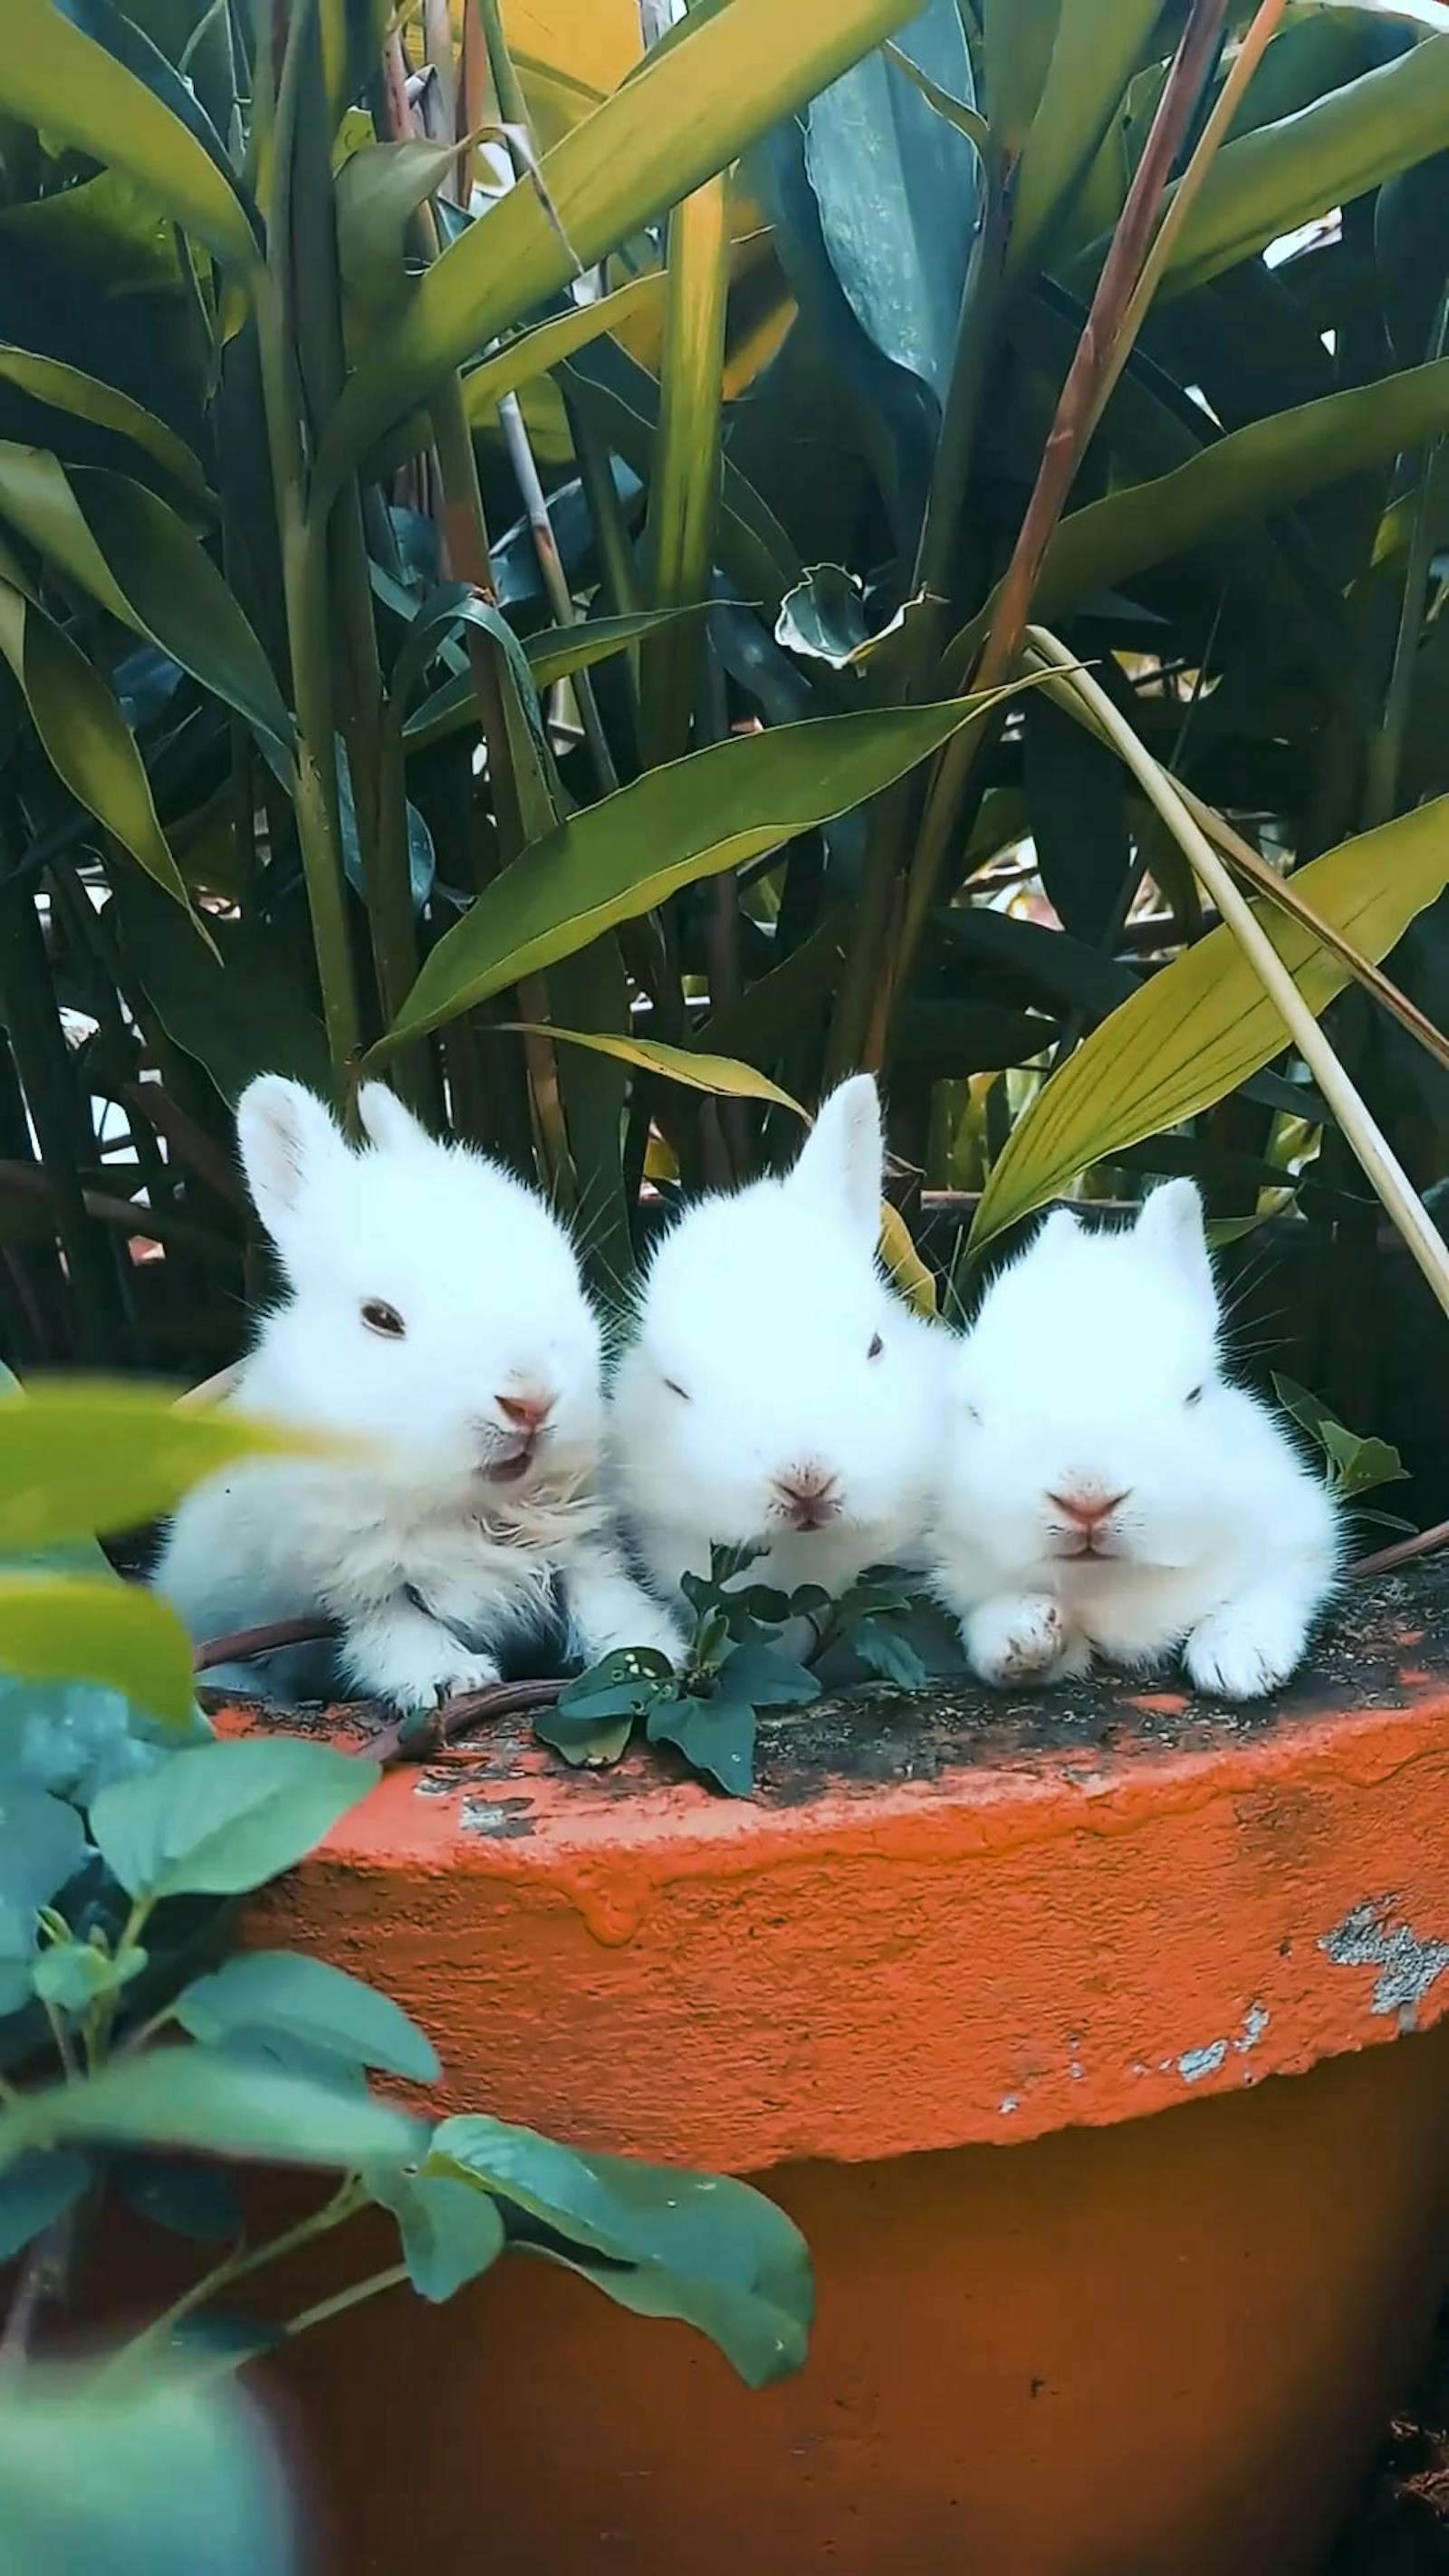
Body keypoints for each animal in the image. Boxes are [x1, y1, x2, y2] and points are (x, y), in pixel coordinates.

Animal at [155, 1076, 682, 1712]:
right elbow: (393, 1631)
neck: (473, 1508)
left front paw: (649, 1655)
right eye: (380, 1318)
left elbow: (602, 1597)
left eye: (567, 1279)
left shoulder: (580, 1546)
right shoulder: (350, 1589)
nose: (529, 1400)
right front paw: (452, 1680)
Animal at [928, 1179, 1341, 1701]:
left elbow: (1271, 1589)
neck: (1111, 1581)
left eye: (1195, 1394)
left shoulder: (1301, 1533)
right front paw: (1024, 1635)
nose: (1088, 1500)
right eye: (974, 1410)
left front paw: (1239, 1664)